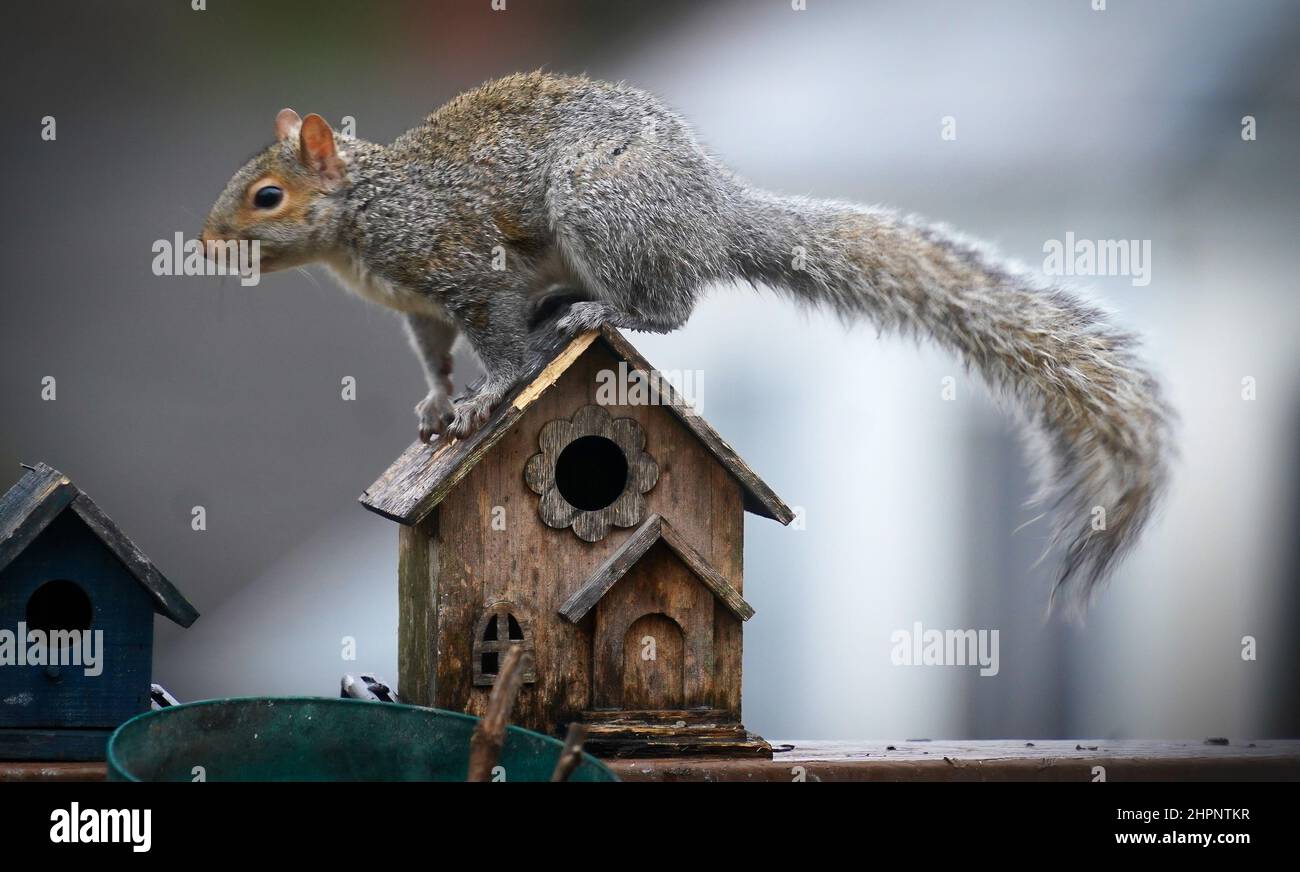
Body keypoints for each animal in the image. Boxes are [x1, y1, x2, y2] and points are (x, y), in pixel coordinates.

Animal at [202, 71, 1173, 610]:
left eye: (266, 198)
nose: (208, 245)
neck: (363, 216)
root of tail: (713, 215)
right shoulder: (421, 307)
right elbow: (435, 356)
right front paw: (439, 404)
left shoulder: (465, 266)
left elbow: (502, 347)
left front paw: (486, 398)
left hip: (604, 212)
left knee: (668, 308)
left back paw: (595, 315)